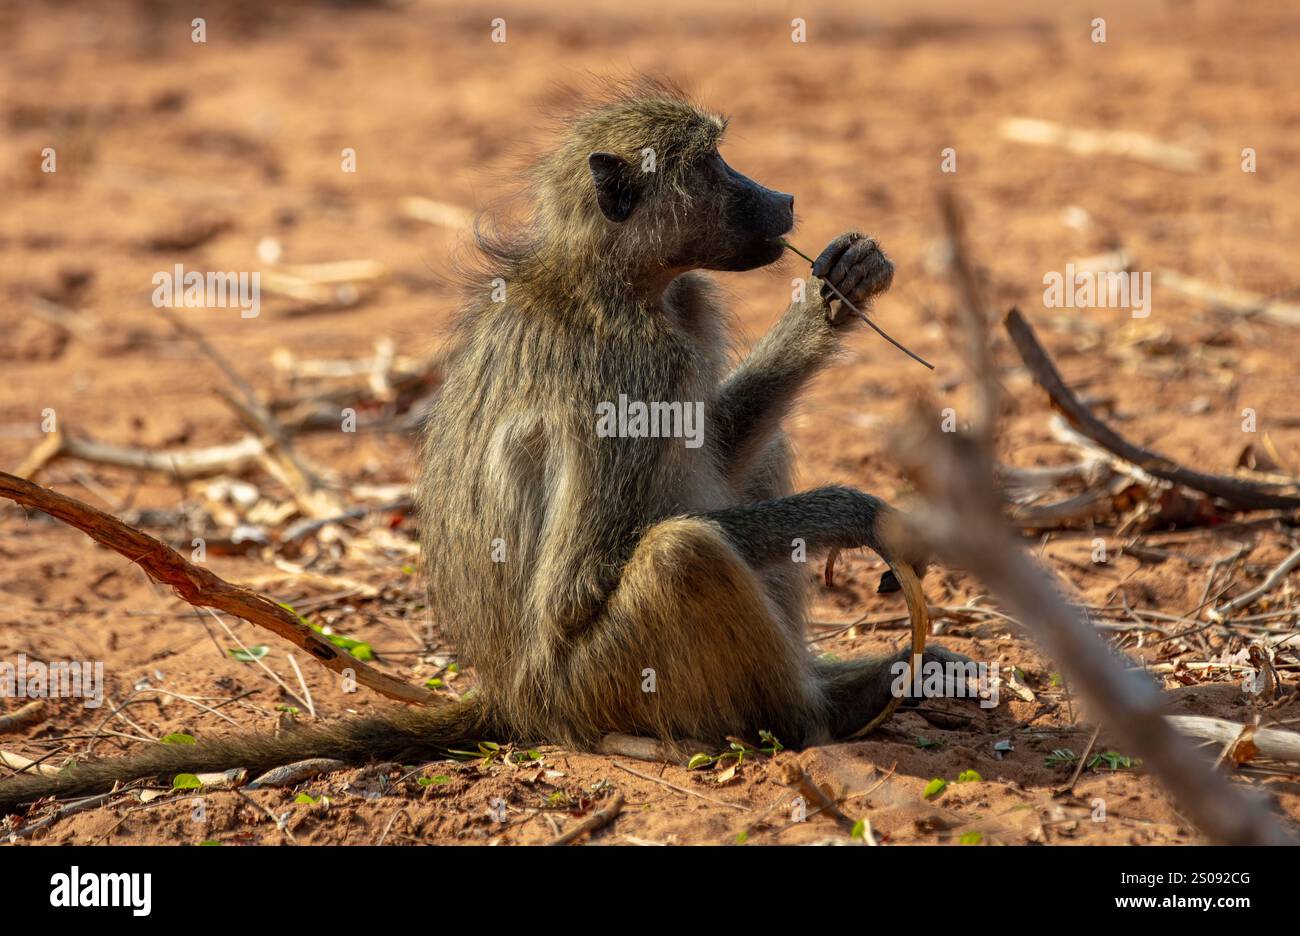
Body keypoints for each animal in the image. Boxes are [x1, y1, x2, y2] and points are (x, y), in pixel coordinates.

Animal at [0, 79, 961, 814]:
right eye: (716, 163)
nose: (784, 200)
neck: (615, 276)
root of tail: (512, 699)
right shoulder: (635, 362)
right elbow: (586, 574)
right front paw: (860, 514)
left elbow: (721, 444)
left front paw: (834, 298)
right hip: (594, 685)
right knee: (681, 554)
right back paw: (824, 718)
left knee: (749, 461)